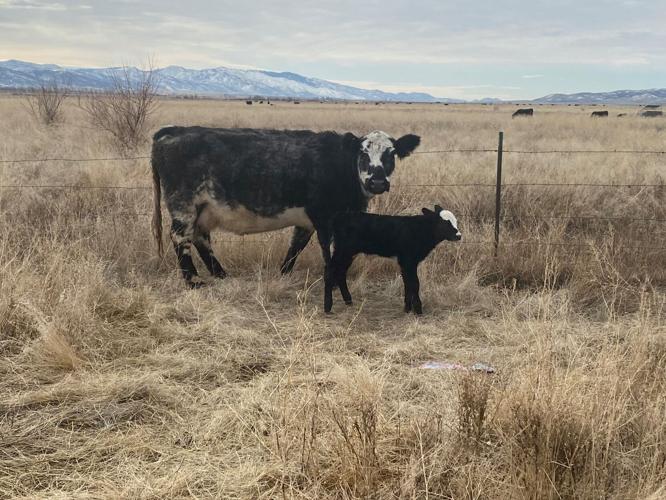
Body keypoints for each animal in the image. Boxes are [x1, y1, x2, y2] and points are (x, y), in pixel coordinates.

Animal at [151, 127, 421, 288]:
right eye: (363, 154)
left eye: (391, 154)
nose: (377, 182)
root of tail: (172, 132)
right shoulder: (325, 218)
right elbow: (328, 251)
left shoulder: (306, 221)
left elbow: (295, 247)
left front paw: (284, 273)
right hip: (184, 205)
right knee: (180, 237)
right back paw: (192, 279)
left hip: (203, 210)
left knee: (200, 239)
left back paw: (220, 274)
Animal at [325, 206, 461, 314]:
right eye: (445, 223)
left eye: (455, 222)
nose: (459, 236)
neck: (420, 231)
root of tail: (340, 216)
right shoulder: (409, 260)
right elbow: (415, 283)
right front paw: (418, 310)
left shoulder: (405, 261)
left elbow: (407, 282)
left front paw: (407, 308)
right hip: (343, 250)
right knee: (330, 270)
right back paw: (327, 307)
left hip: (348, 253)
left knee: (340, 272)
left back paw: (348, 301)